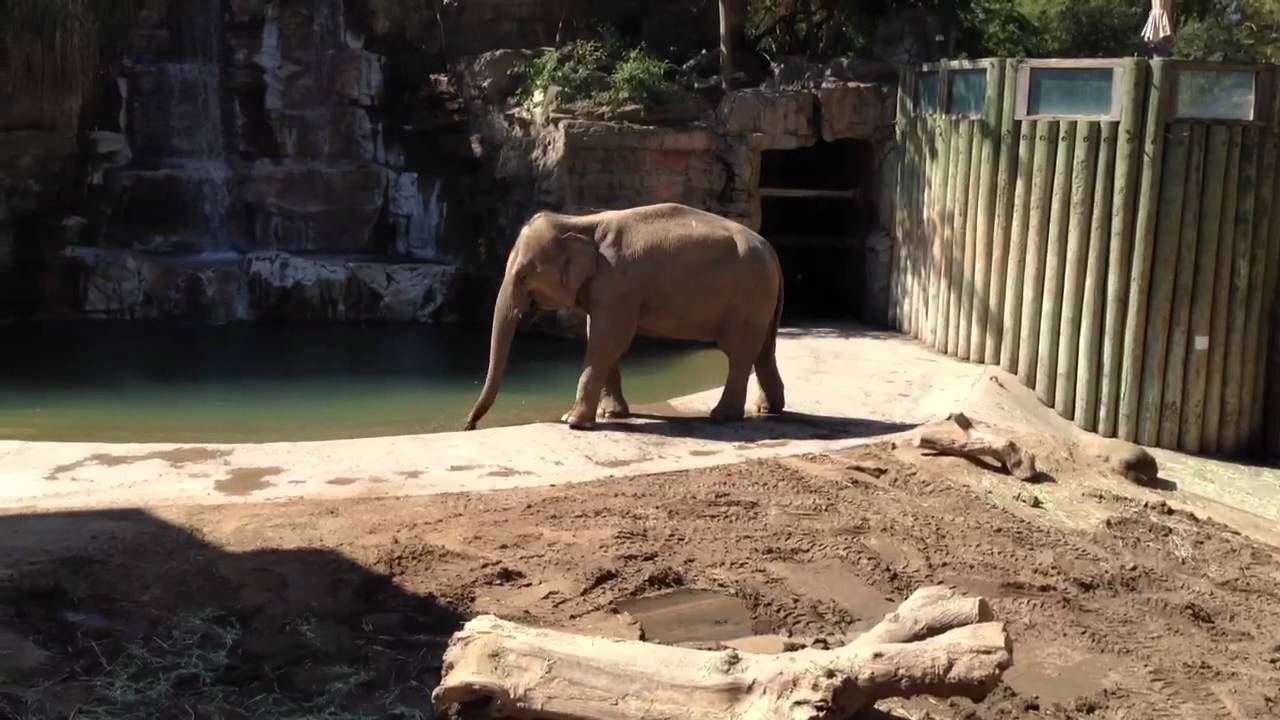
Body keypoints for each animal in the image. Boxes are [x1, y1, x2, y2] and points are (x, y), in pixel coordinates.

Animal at [463, 202, 786, 431]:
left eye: (523, 275)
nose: (469, 425)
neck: (581, 222)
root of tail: (772, 252)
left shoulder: (617, 282)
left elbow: (608, 339)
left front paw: (573, 421)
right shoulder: (605, 288)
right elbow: (602, 338)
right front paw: (611, 414)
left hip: (749, 297)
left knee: (739, 354)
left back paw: (721, 416)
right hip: (762, 302)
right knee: (764, 351)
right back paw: (768, 409)